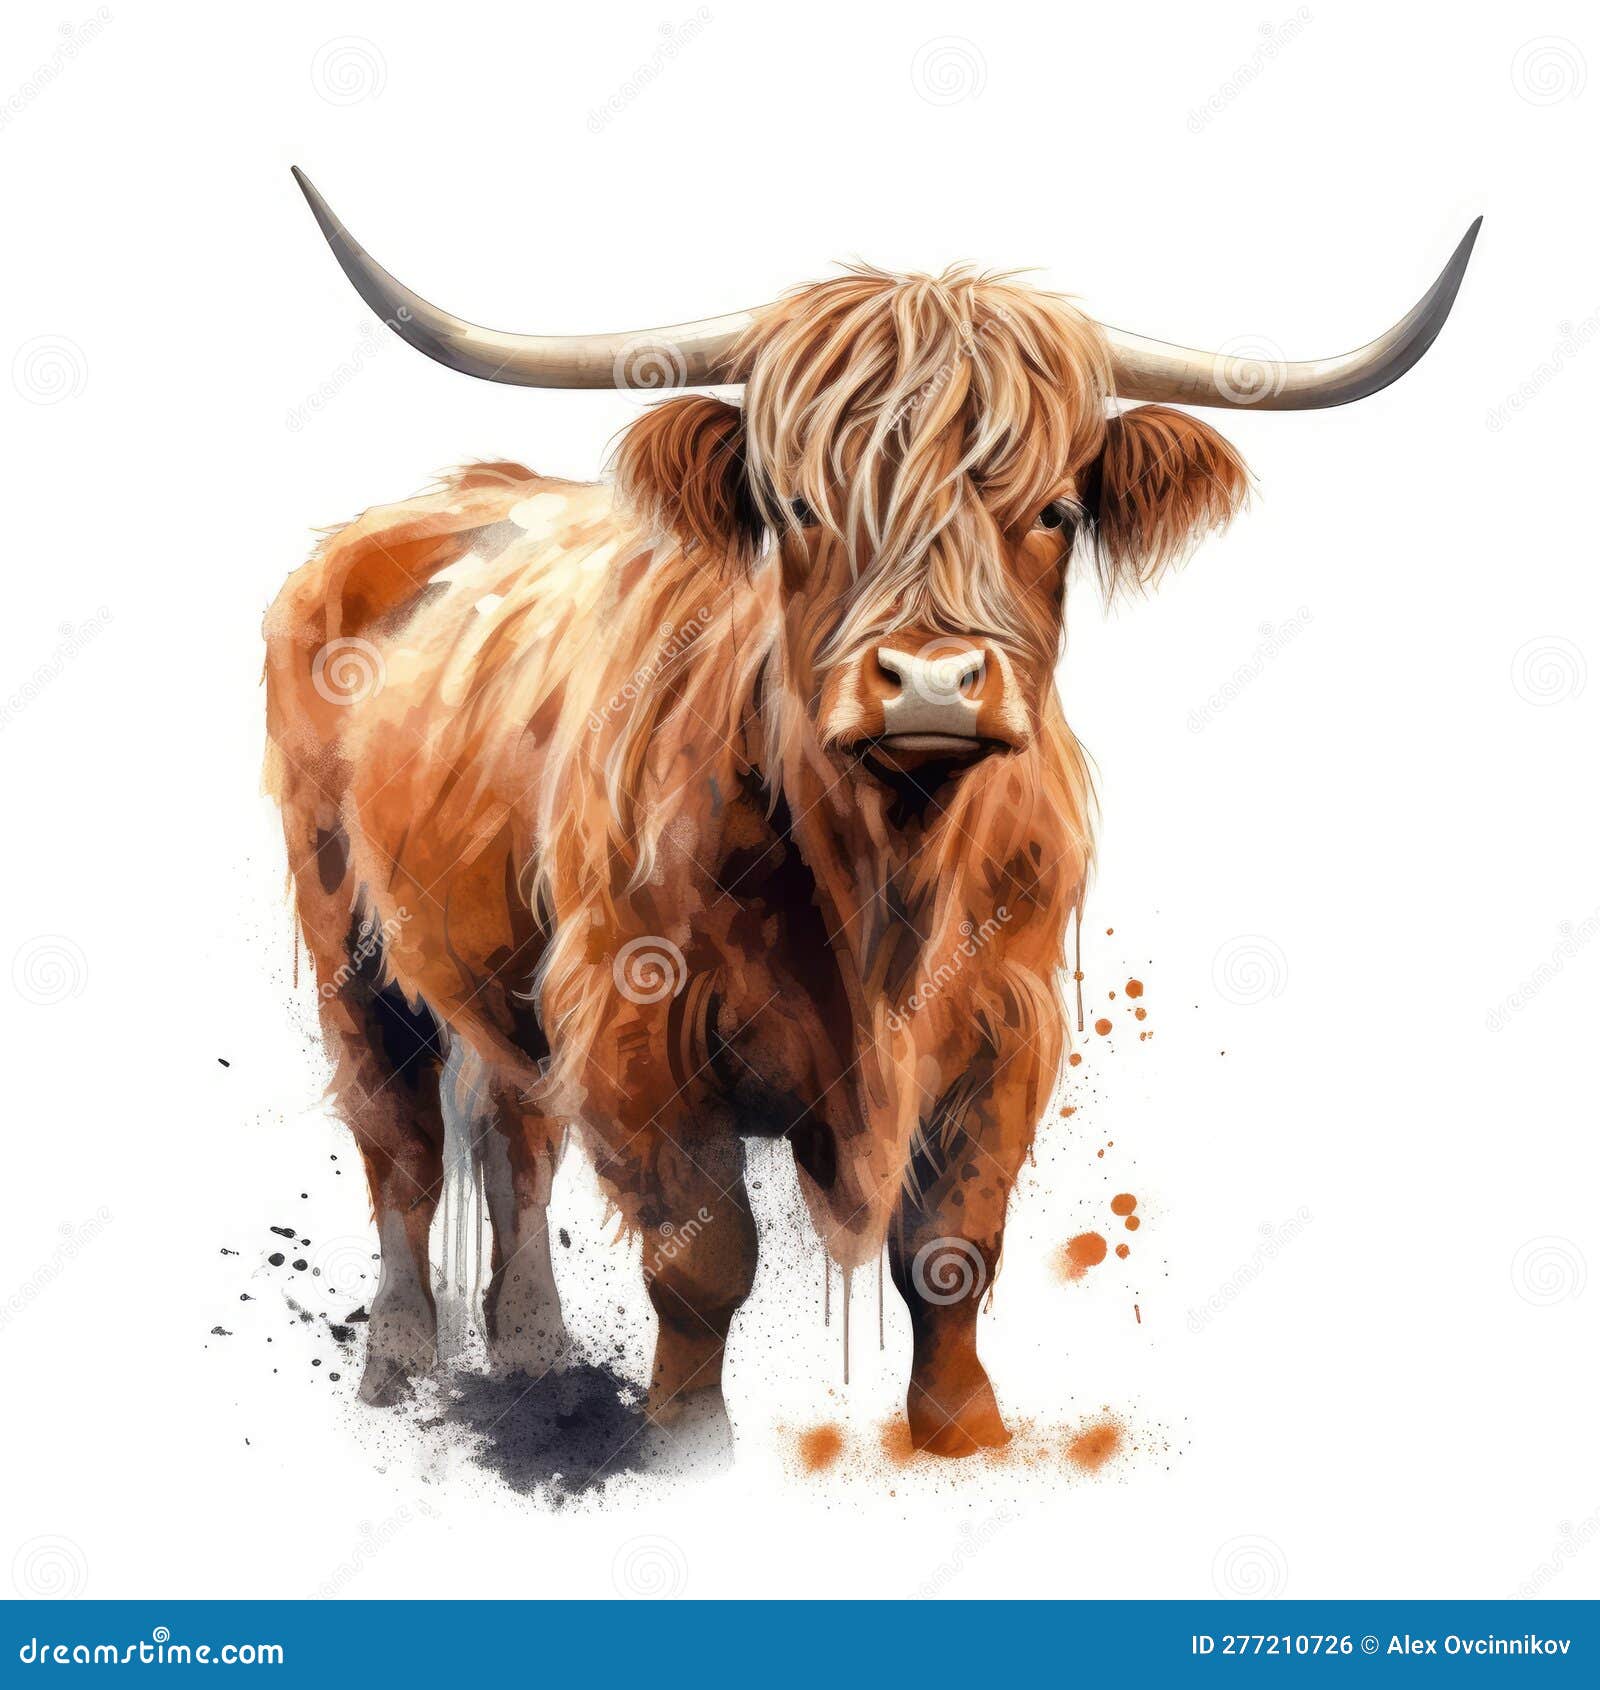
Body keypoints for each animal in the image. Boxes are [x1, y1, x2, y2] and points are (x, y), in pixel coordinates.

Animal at [266, 170, 1478, 1457]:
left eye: (1056, 510)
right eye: (799, 504)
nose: (932, 681)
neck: (883, 879)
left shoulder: (1003, 1023)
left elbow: (950, 1246)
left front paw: (963, 1435)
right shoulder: (637, 1021)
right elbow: (703, 1256)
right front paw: (688, 1444)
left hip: (497, 967)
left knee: (513, 1133)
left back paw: (536, 1351)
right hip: (349, 937)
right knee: (403, 1144)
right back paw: (400, 1360)